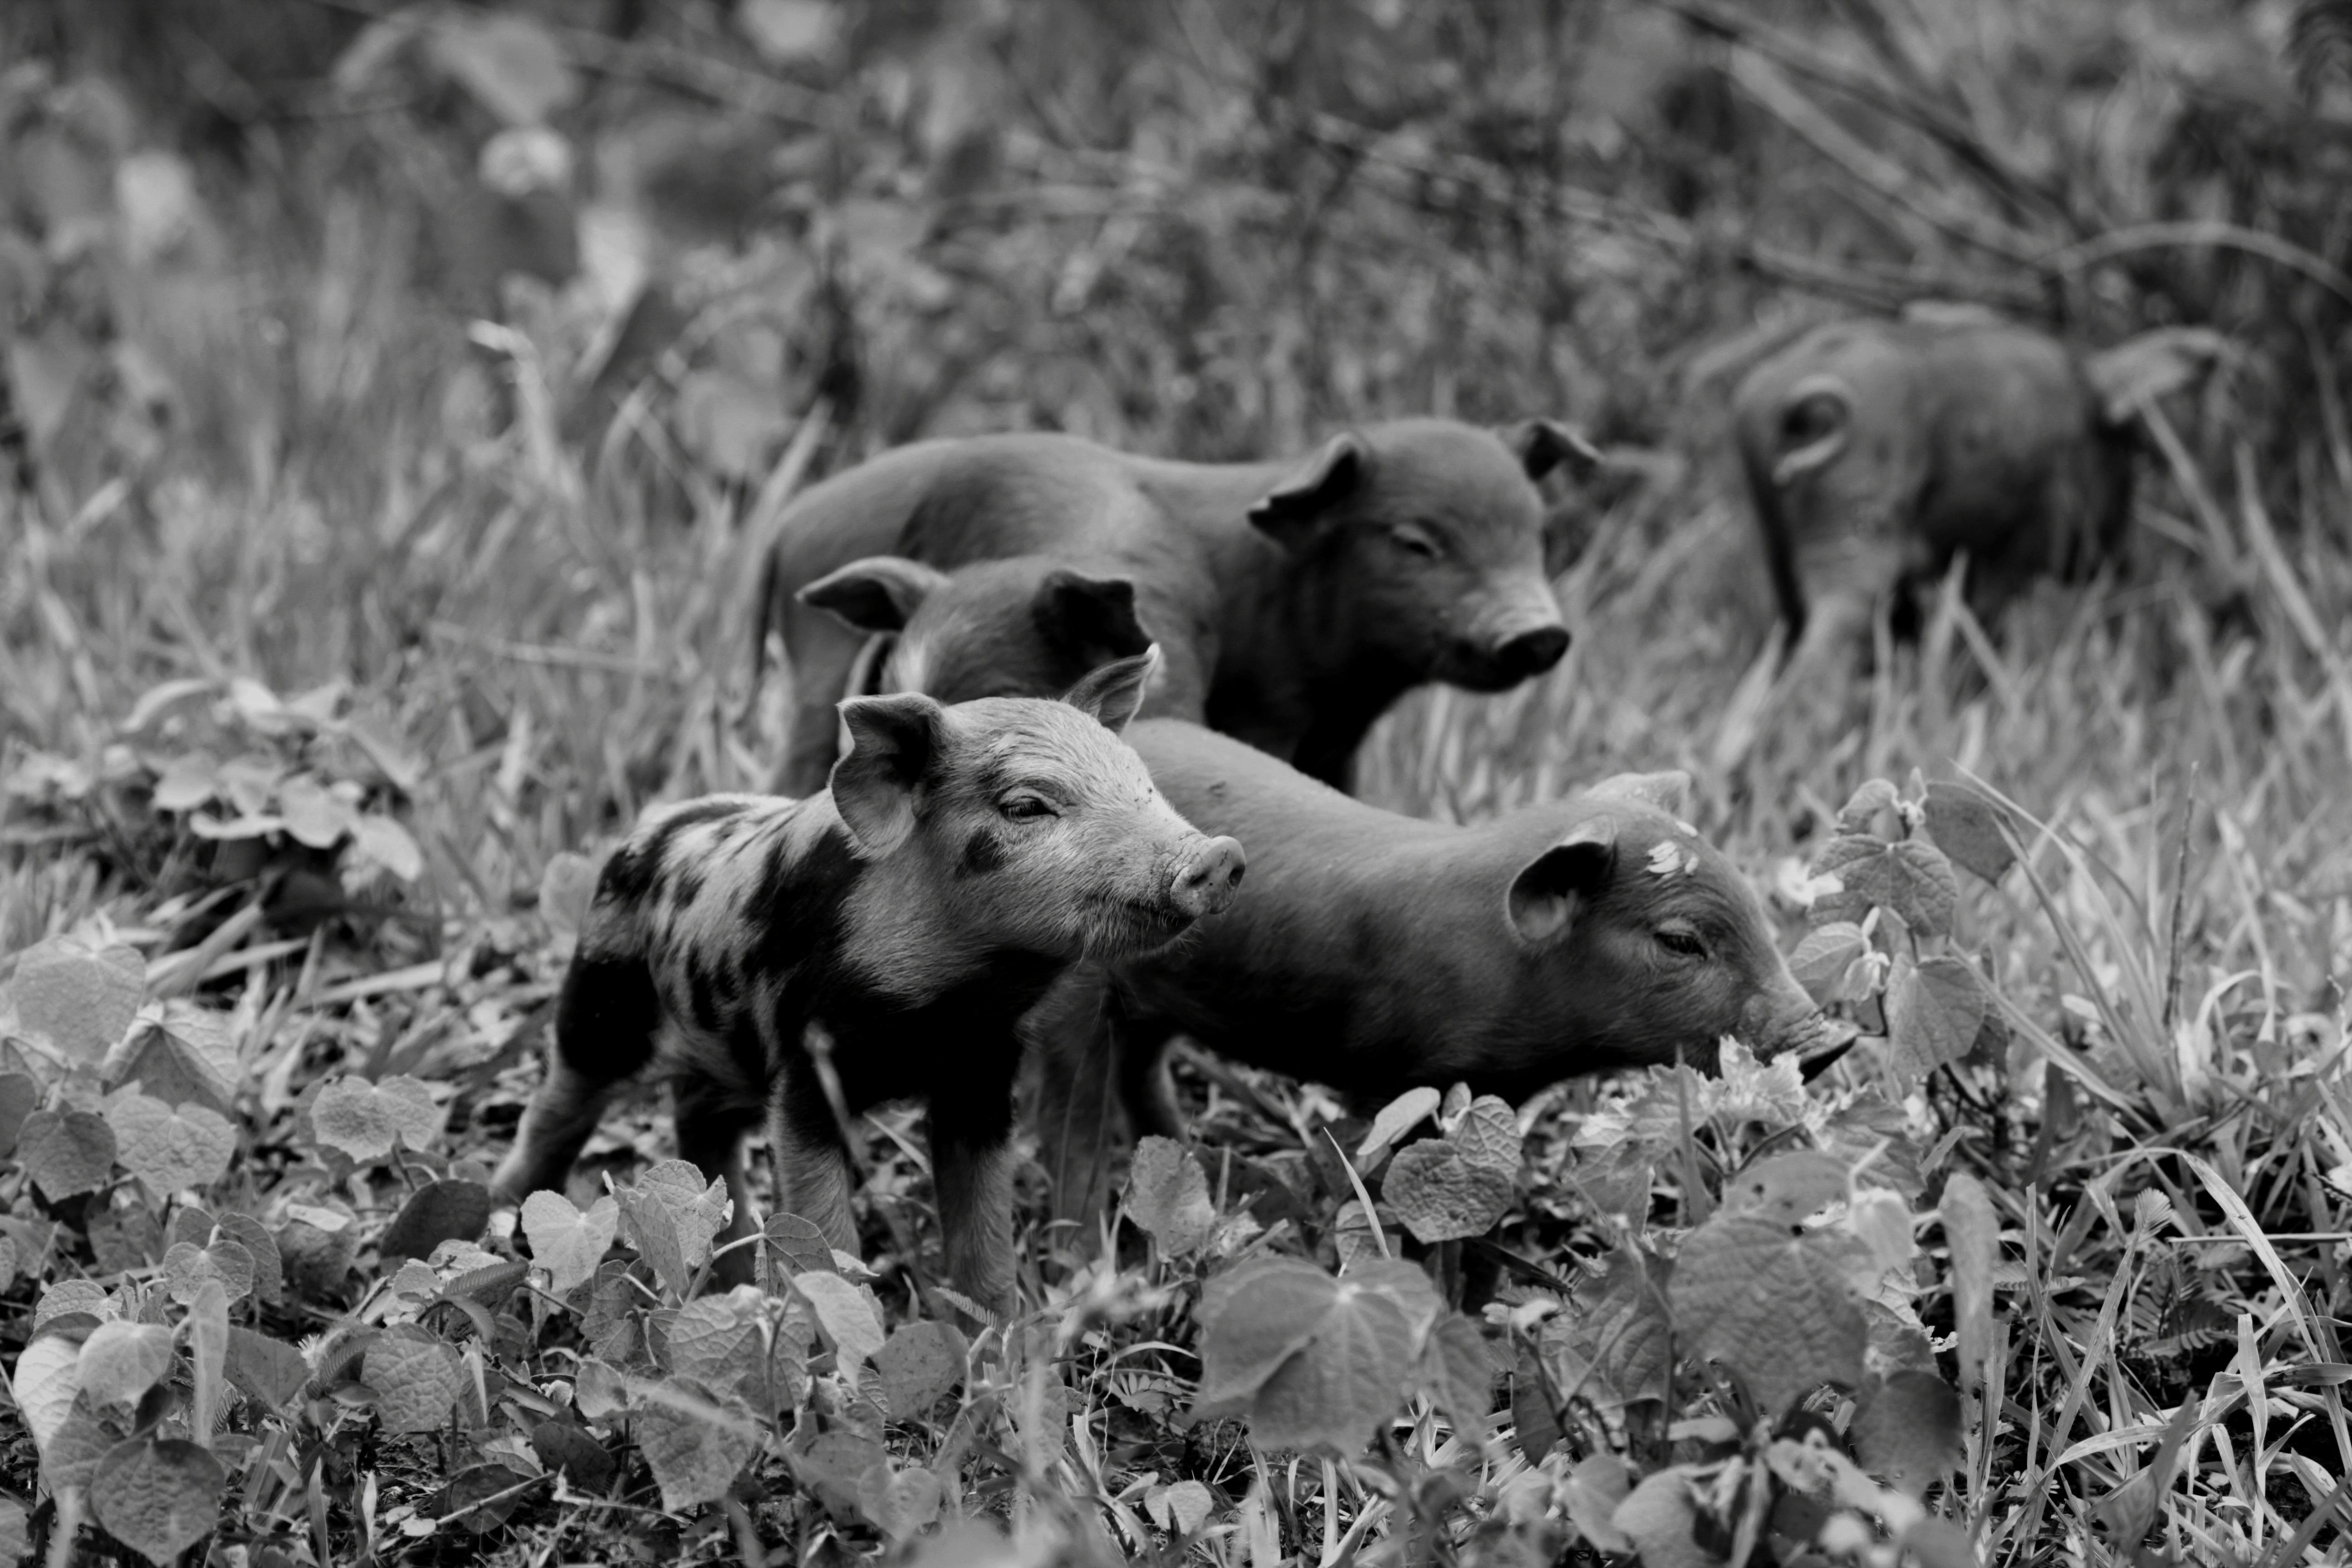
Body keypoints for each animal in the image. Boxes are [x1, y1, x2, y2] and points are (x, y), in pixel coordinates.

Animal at [493, 650, 1247, 1317]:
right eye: (1027, 806)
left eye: (1139, 778)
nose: (1218, 853)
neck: (945, 1009)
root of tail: (645, 830)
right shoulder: (804, 1064)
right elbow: (827, 1231)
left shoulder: (981, 1074)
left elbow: (985, 1233)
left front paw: (995, 1342)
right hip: (601, 1006)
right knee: (556, 1111)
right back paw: (505, 1220)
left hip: (720, 1059)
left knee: (699, 1131)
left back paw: (727, 1286)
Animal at [750, 418, 1603, 798]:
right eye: (1416, 542)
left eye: (1535, 534)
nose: (1536, 632)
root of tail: (787, 521)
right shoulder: (1268, 705)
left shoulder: (1327, 733)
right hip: (812, 665)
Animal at [1030, 719, 1850, 1210]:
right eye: (1680, 941)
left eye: (1753, 903)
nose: (1830, 1040)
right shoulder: (1388, 1073)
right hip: (1071, 994)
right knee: (1072, 1119)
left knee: (1141, 1073)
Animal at [1731, 311, 2221, 667]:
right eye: (2131, 443)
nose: (2121, 563)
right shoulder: (2016, 550)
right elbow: (1985, 631)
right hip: (1856, 546)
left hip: (1781, 554)